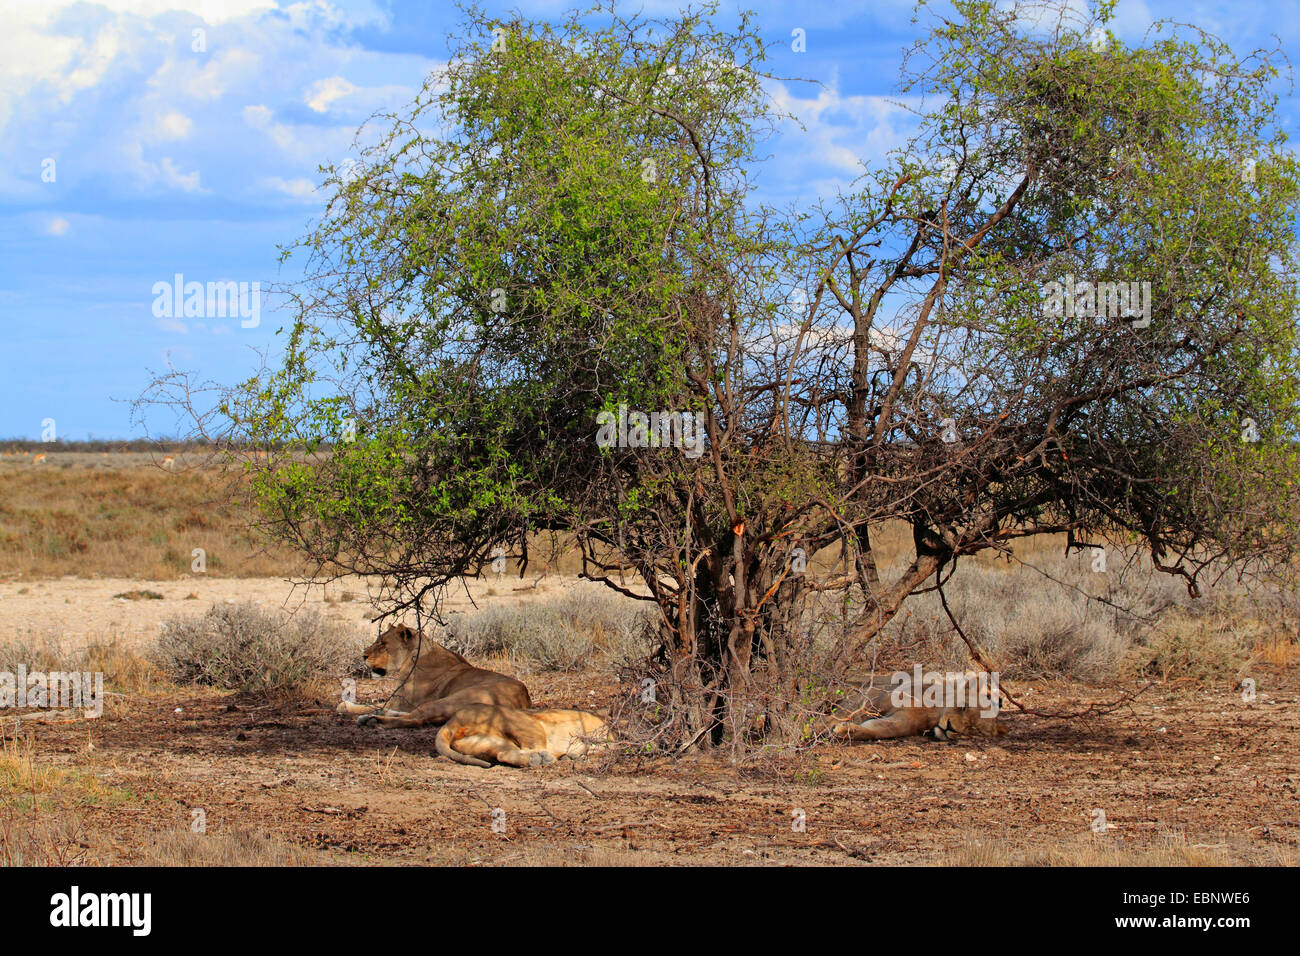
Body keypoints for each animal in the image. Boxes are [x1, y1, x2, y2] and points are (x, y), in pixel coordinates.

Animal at [337, 623, 530, 728]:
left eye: (383, 643)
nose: (363, 656)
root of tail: (522, 702)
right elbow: (375, 703)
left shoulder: (400, 701)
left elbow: (365, 705)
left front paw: (346, 705)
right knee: (412, 716)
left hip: (452, 699)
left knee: (415, 719)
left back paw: (370, 720)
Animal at [434, 704, 612, 768]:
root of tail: (452, 721)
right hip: (524, 722)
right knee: (535, 747)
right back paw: (548, 758)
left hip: (488, 742)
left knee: (503, 754)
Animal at [828, 671, 1008, 741]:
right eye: (963, 707)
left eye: (973, 730)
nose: (950, 727)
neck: (933, 712)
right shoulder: (880, 700)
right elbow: (833, 718)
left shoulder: (902, 722)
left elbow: (875, 730)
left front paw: (842, 730)